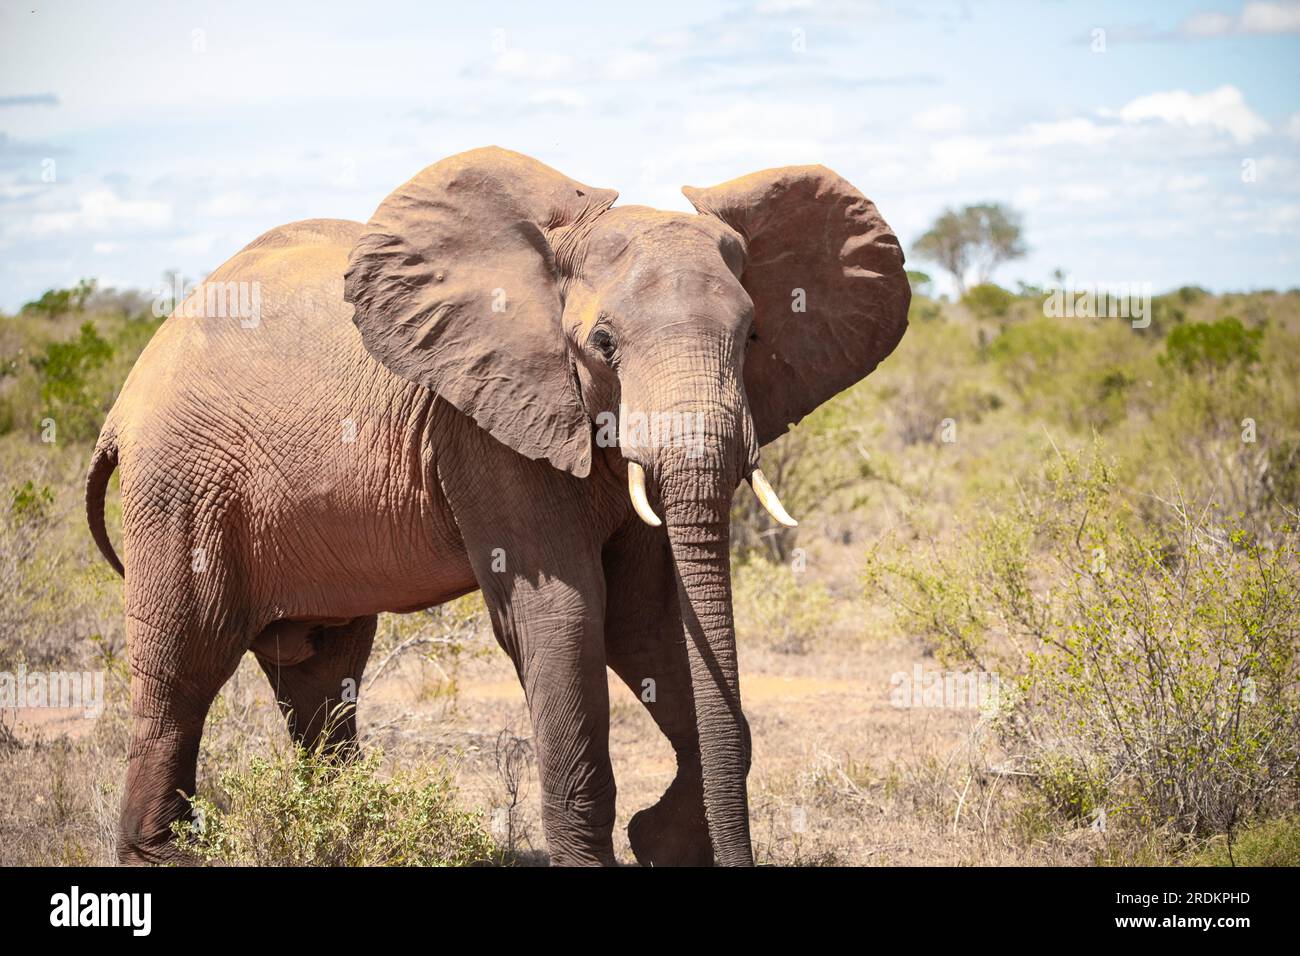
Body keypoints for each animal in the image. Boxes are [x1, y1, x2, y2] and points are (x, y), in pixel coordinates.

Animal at [85, 146, 910, 866]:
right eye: (603, 344)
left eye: (751, 336)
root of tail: (125, 397)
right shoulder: (483, 423)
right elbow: (564, 614)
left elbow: (644, 619)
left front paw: (662, 840)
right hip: (182, 484)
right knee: (183, 668)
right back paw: (166, 856)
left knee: (320, 673)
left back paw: (342, 829)